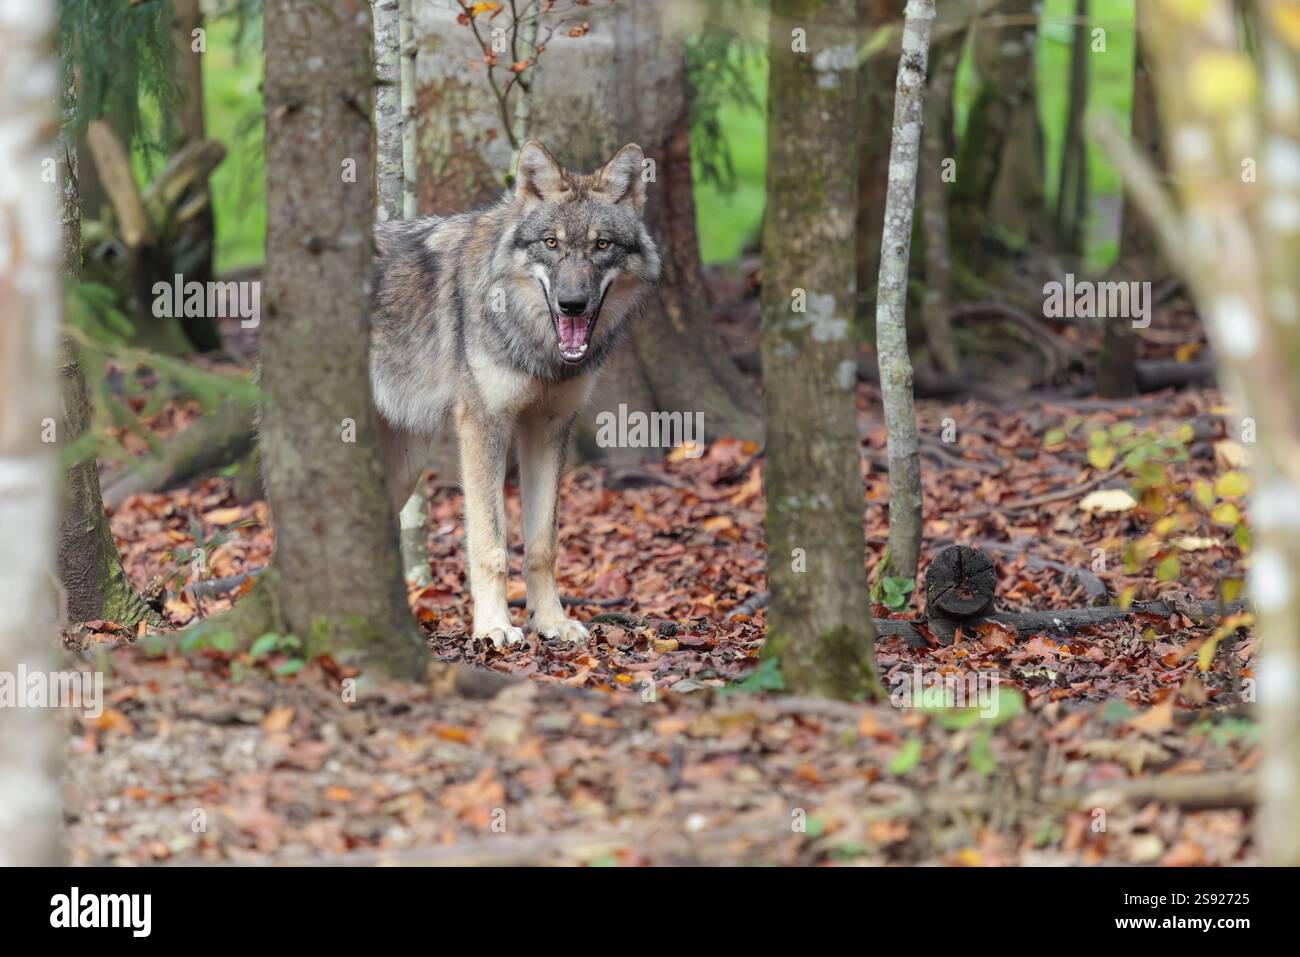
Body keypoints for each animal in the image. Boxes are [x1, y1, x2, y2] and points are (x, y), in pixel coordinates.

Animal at [369, 141, 661, 648]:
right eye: (551, 243)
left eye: (602, 245)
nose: (572, 304)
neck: (536, 344)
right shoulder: (483, 426)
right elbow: (491, 544)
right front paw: (493, 627)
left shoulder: (549, 427)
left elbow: (544, 544)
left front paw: (551, 622)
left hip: (404, 468)